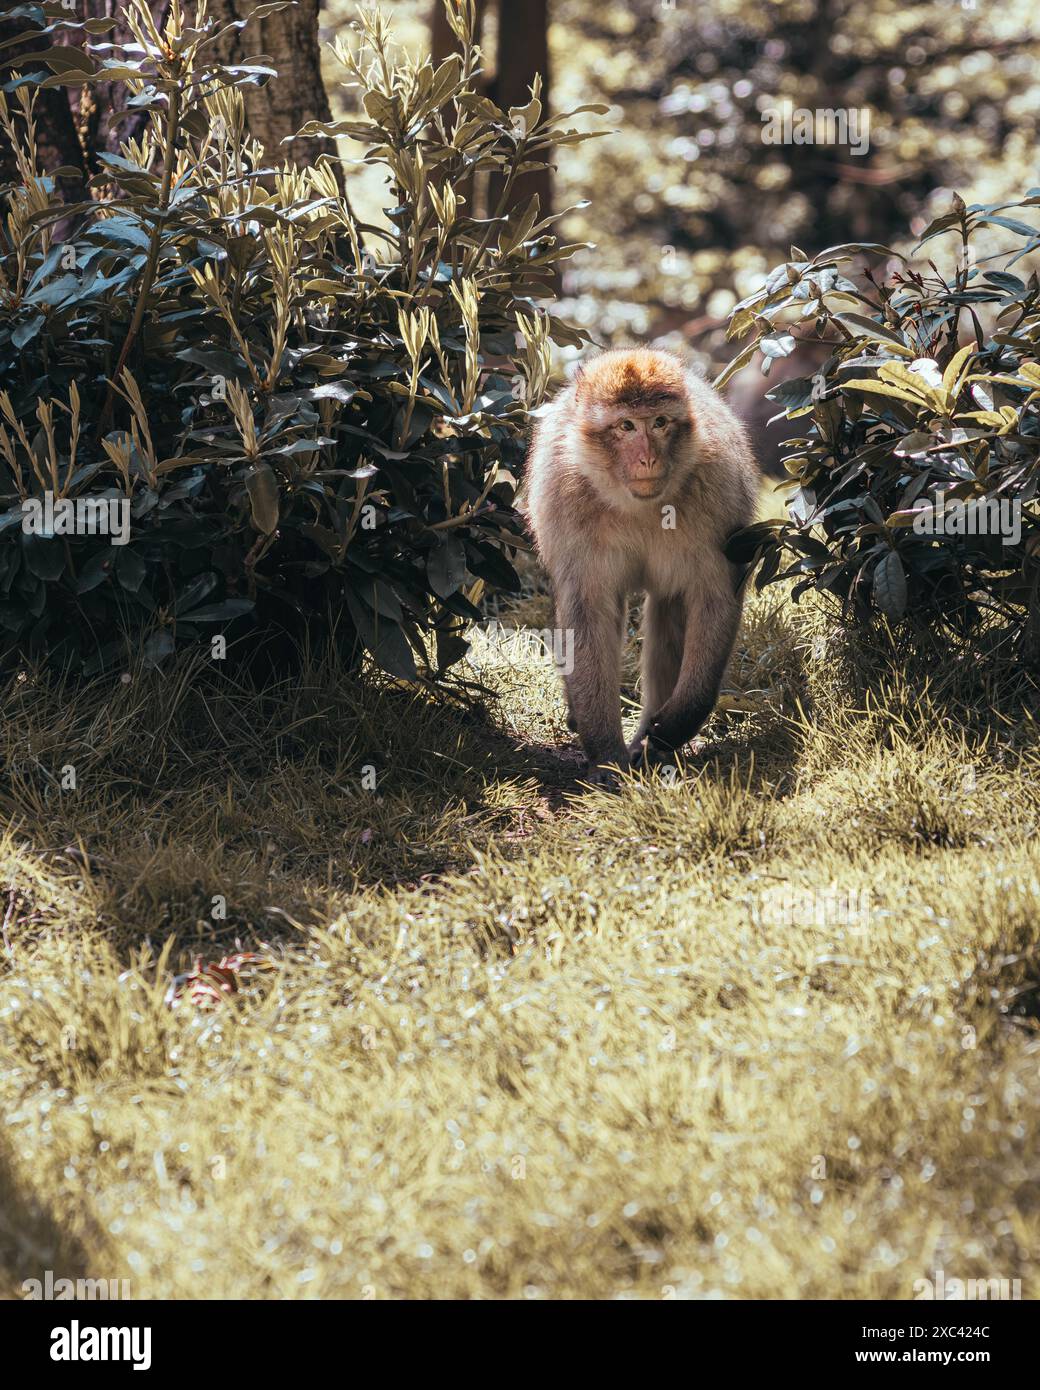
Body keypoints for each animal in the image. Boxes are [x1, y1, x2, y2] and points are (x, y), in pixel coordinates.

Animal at [521, 347, 758, 784]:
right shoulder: (566, 500)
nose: (648, 458)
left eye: (660, 423)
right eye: (627, 426)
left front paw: (677, 723)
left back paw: (653, 746)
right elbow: (588, 612)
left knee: (670, 605)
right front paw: (604, 752)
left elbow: (713, 596)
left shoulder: (718, 489)